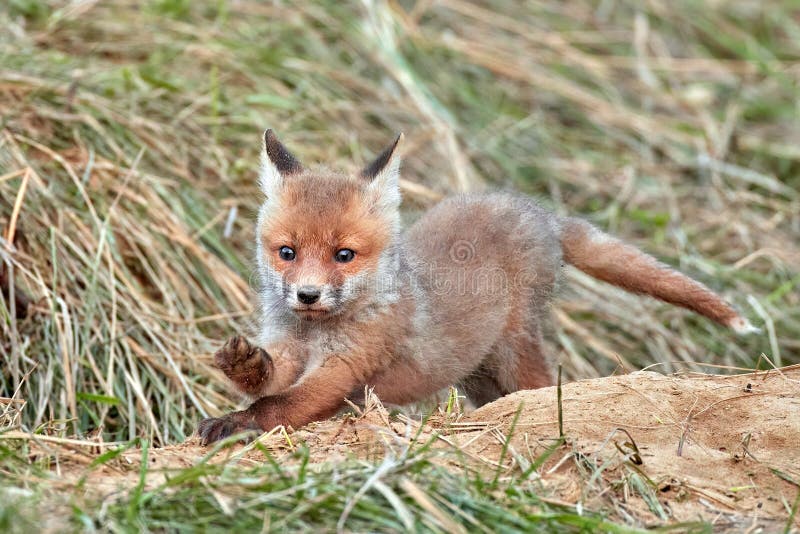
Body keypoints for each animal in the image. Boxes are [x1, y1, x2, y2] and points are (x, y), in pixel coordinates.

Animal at [197, 130, 755, 444]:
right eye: (287, 252)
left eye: (344, 255)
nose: (307, 295)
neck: (316, 331)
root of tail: (540, 213)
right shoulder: (289, 349)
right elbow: (267, 380)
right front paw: (241, 365)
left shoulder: (348, 364)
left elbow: (279, 407)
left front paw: (237, 424)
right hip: (475, 374)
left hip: (514, 349)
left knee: (543, 387)